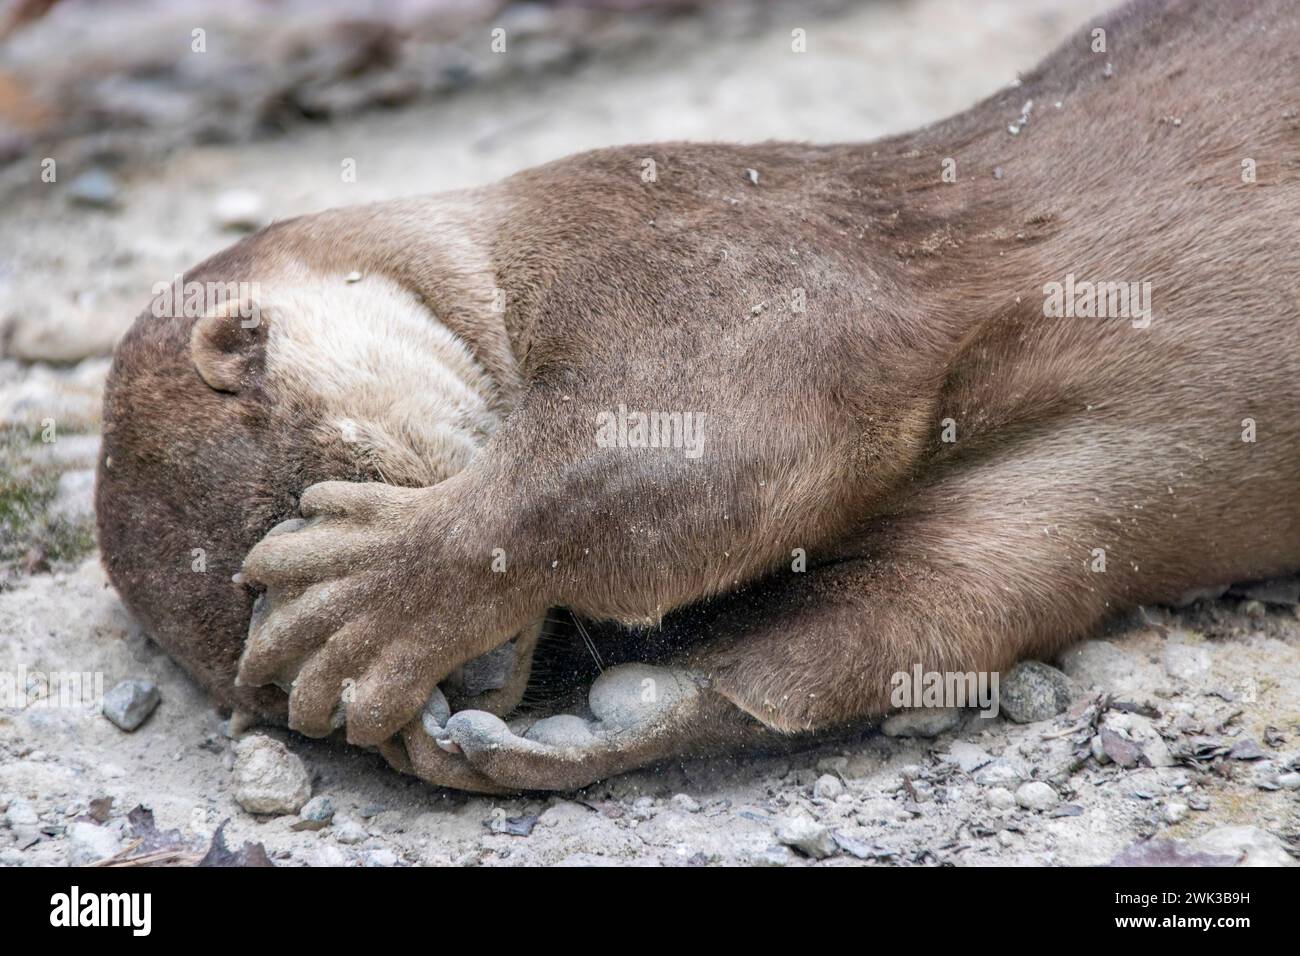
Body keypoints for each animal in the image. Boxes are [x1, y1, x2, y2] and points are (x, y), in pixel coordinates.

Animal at [97, 0, 1300, 793]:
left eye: (345, 480)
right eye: (262, 703)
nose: (473, 677)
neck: (495, 252)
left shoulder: (711, 257)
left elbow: (690, 447)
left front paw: (368, 594)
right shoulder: (1043, 521)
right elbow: (901, 629)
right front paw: (570, 733)